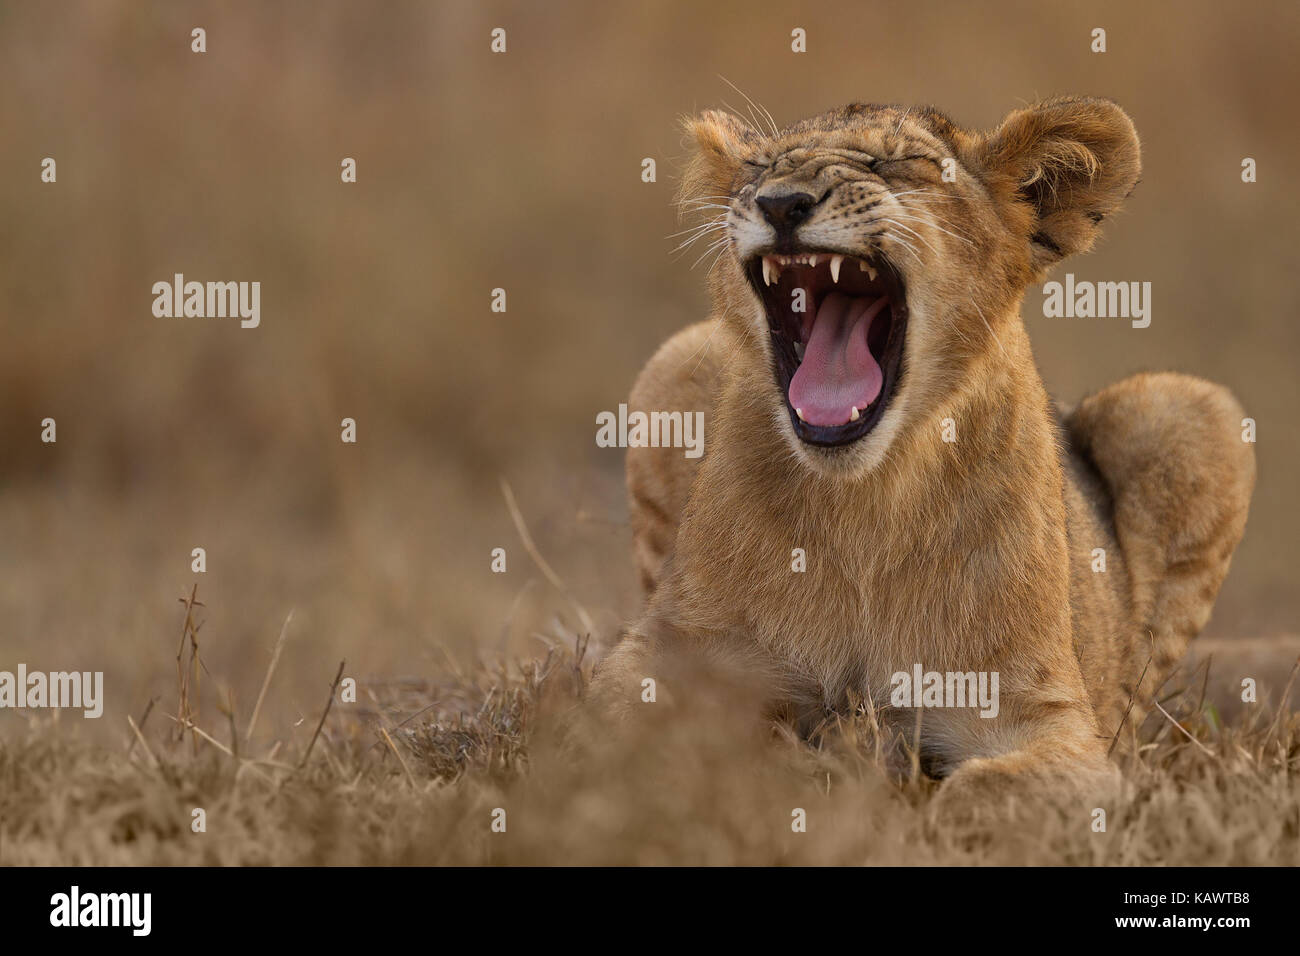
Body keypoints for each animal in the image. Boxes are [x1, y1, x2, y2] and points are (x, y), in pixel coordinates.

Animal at [590, 97, 1255, 803]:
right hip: (676, 359)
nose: (780, 203)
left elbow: (982, 792)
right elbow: (605, 727)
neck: (863, 498)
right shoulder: (666, 650)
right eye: (759, 169)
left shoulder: (1049, 720)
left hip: (1192, 412)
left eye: (898, 163)